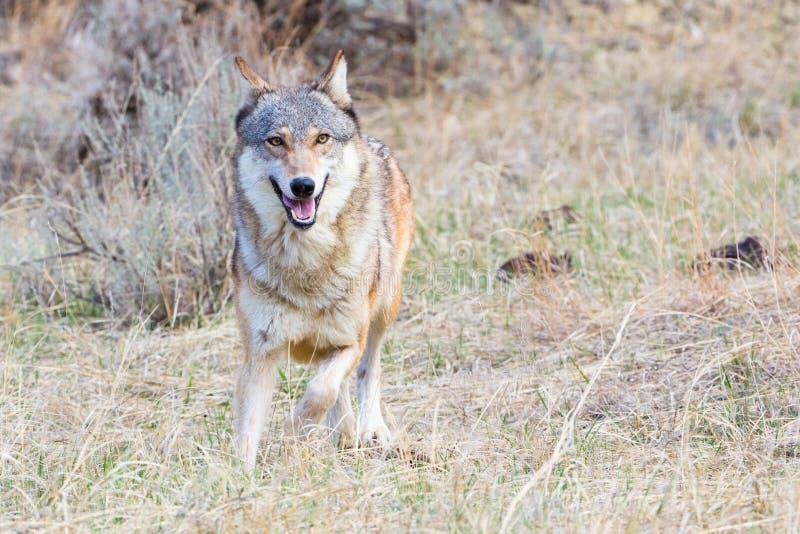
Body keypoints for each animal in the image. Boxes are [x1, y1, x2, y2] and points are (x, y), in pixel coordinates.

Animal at [230, 51, 414, 468]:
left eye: (322, 138)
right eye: (276, 140)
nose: (303, 186)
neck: (306, 265)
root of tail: (373, 141)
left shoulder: (350, 340)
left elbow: (320, 392)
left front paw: (293, 433)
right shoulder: (259, 354)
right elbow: (247, 433)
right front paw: (237, 477)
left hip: (385, 309)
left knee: (367, 371)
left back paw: (369, 430)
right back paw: (342, 431)